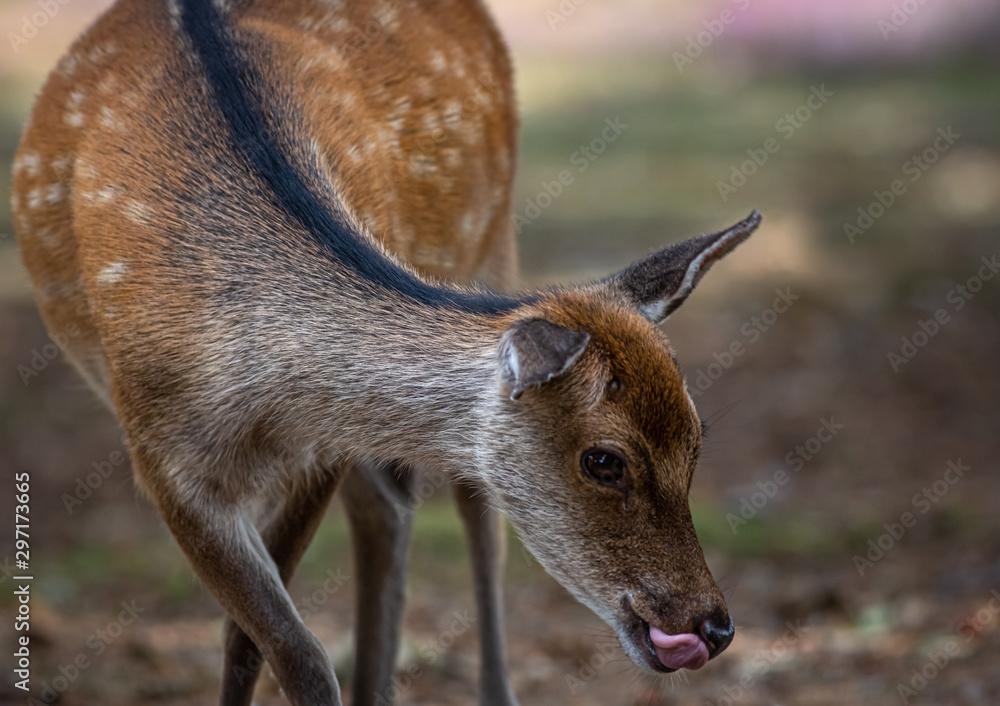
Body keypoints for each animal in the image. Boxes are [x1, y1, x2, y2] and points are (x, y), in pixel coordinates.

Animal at [11, 0, 761, 704]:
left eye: (697, 440)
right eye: (605, 460)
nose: (715, 625)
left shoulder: (321, 446)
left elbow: (256, 637)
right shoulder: (159, 456)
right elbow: (281, 648)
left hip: (494, 236)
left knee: (460, 516)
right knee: (396, 510)